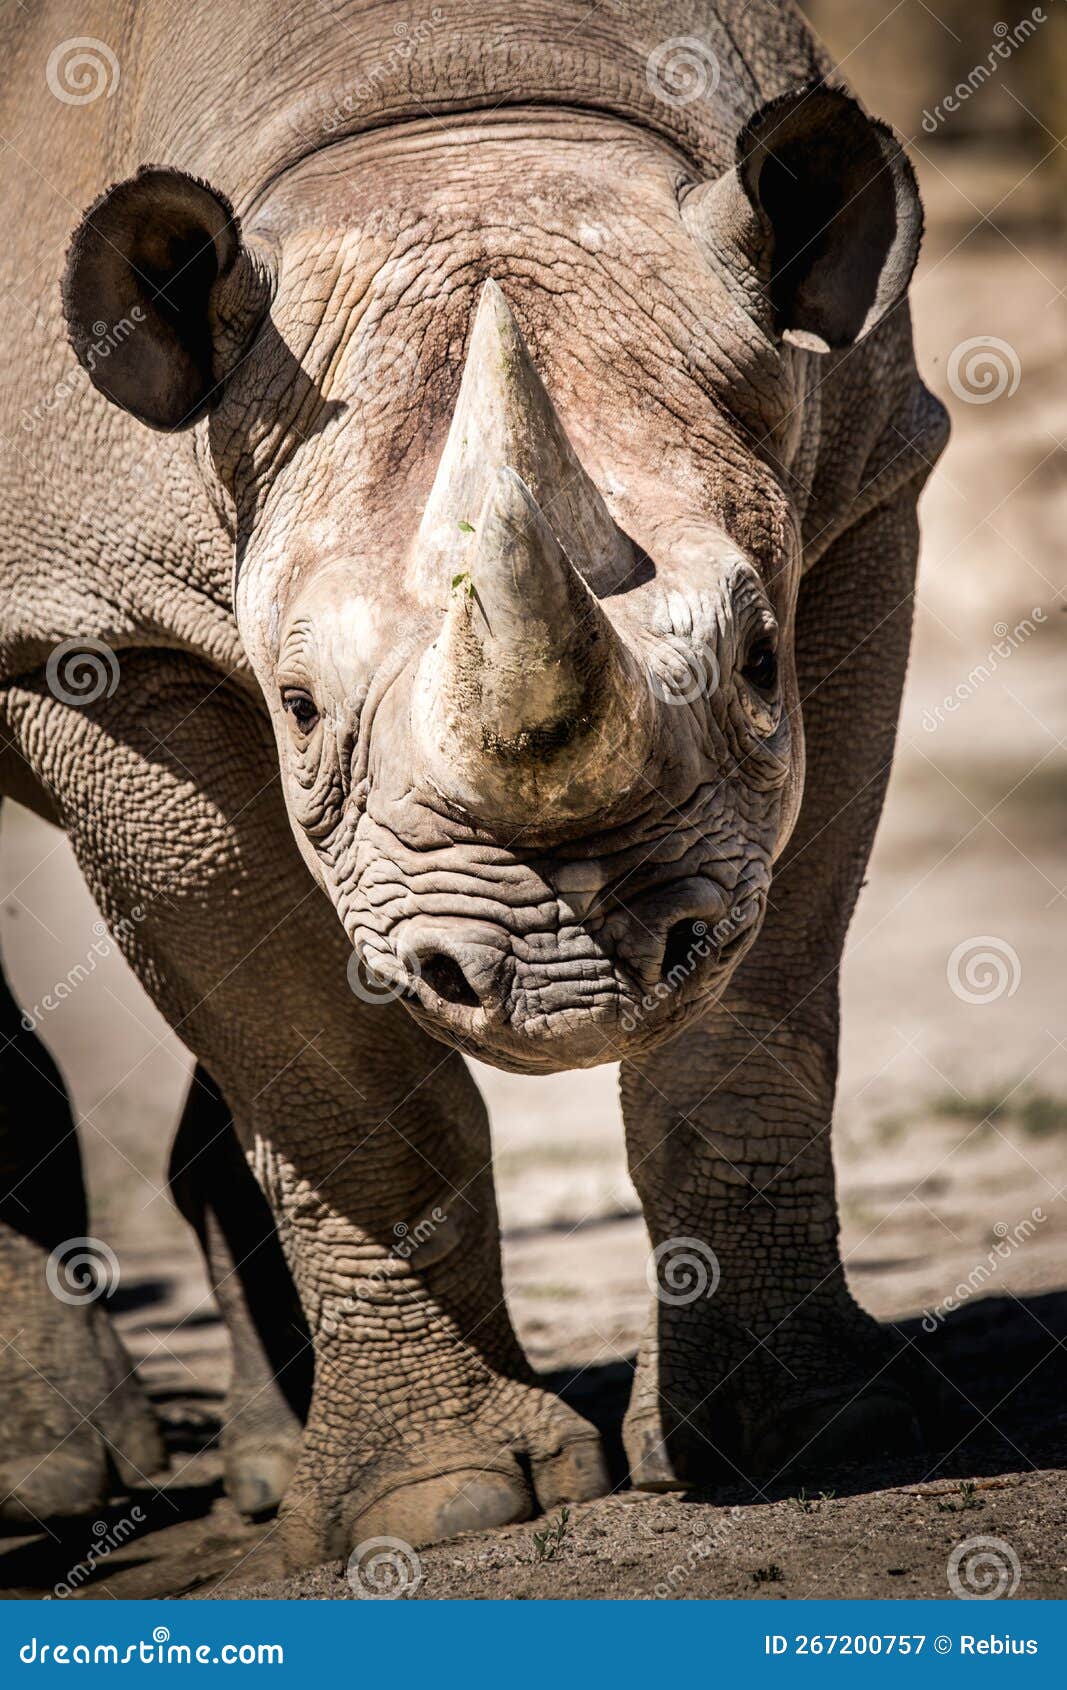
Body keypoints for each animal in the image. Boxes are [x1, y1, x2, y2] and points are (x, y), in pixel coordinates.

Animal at [0, 0, 947, 1568]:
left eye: (758, 662)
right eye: (300, 710)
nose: (560, 988)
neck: (451, 114)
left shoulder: (864, 489)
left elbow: (758, 1008)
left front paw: (807, 1432)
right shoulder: (100, 630)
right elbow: (330, 1062)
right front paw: (439, 1503)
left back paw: (259, 1470)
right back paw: (58, 1483)